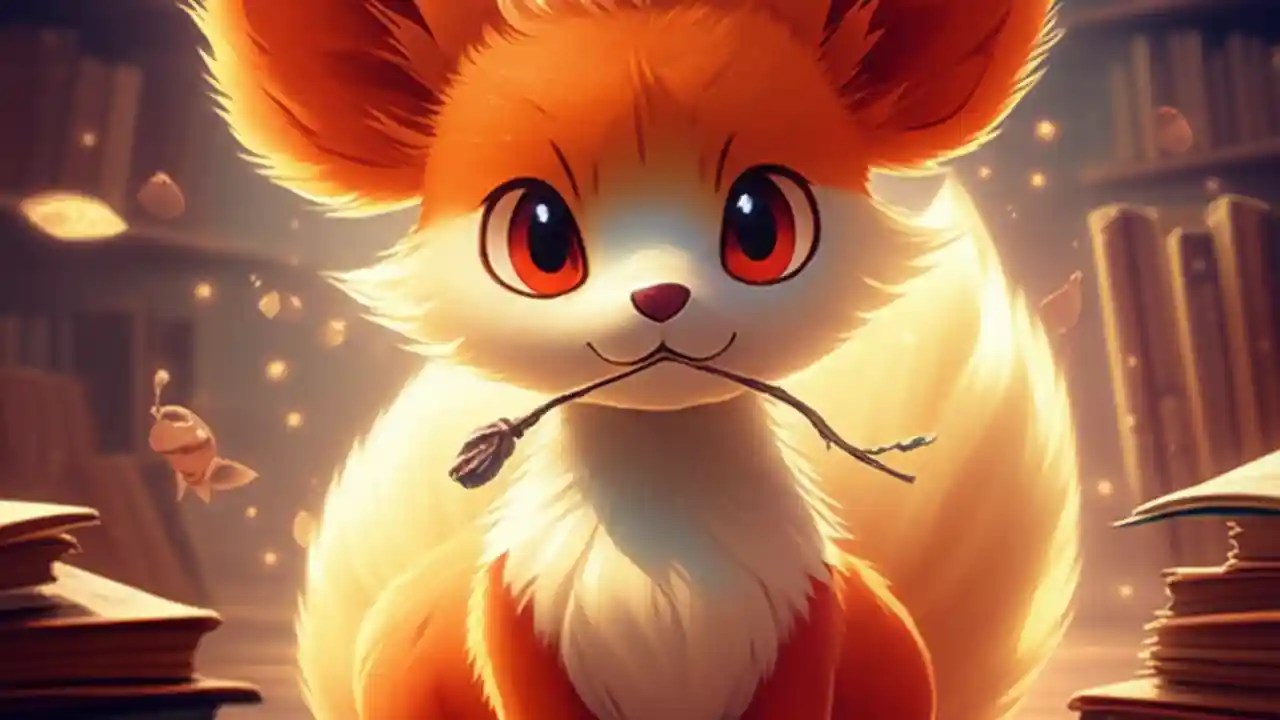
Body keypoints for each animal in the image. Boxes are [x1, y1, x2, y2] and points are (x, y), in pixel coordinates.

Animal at [194, 1, 1081, 718]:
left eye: (760, 225)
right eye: (541, 238)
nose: (660, 295)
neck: (663, 548)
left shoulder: (804, 636)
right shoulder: (520, 639)